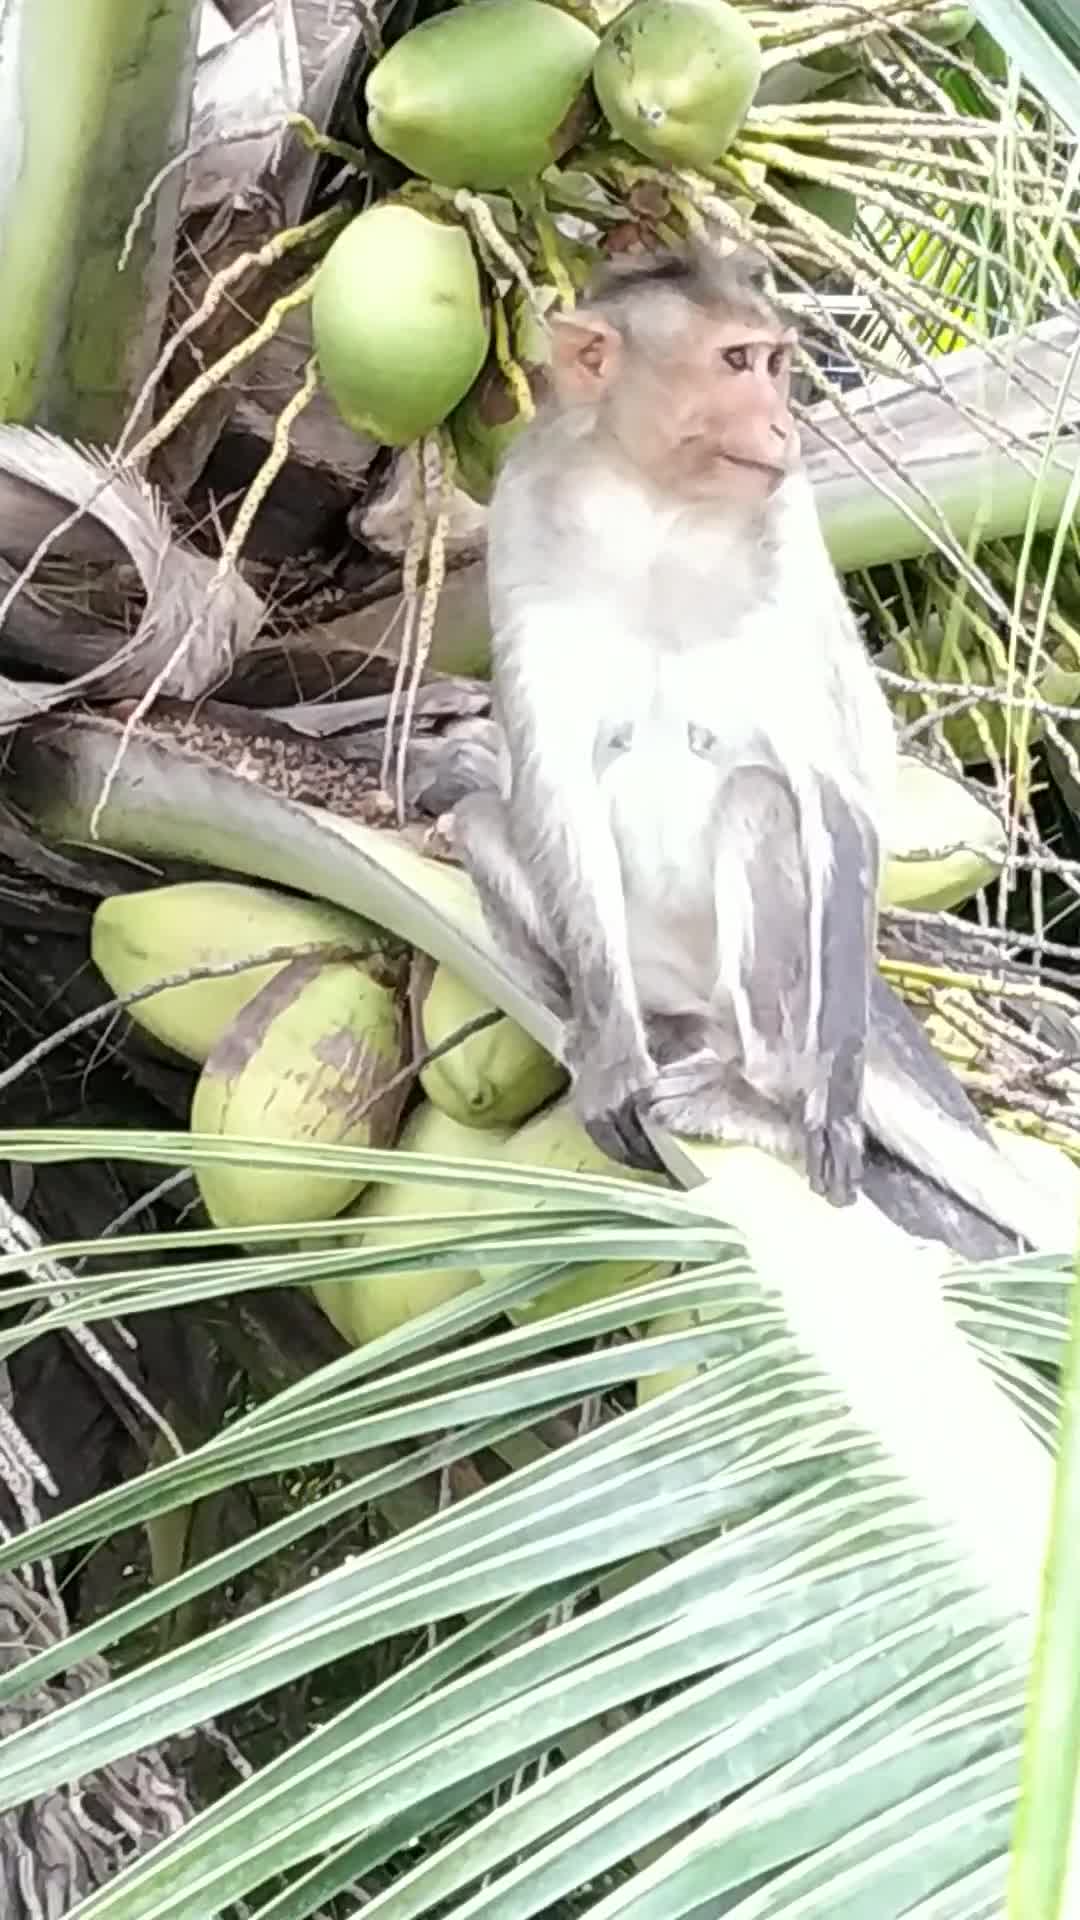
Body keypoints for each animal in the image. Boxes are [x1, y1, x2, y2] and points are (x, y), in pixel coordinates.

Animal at [449, 240, 1074, 1256]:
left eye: (776, 363)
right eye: (737, 362)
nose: (784, 423)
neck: (653, 503)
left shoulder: (789, 531)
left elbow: (833, 791)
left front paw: (834, 1109)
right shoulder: (522, 510)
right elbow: (549, 774)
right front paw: (611, 1060)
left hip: (789, 998)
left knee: (759, 804)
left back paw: (767, 1099)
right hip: (655, 970)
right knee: (482, 825)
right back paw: (621, 1034)